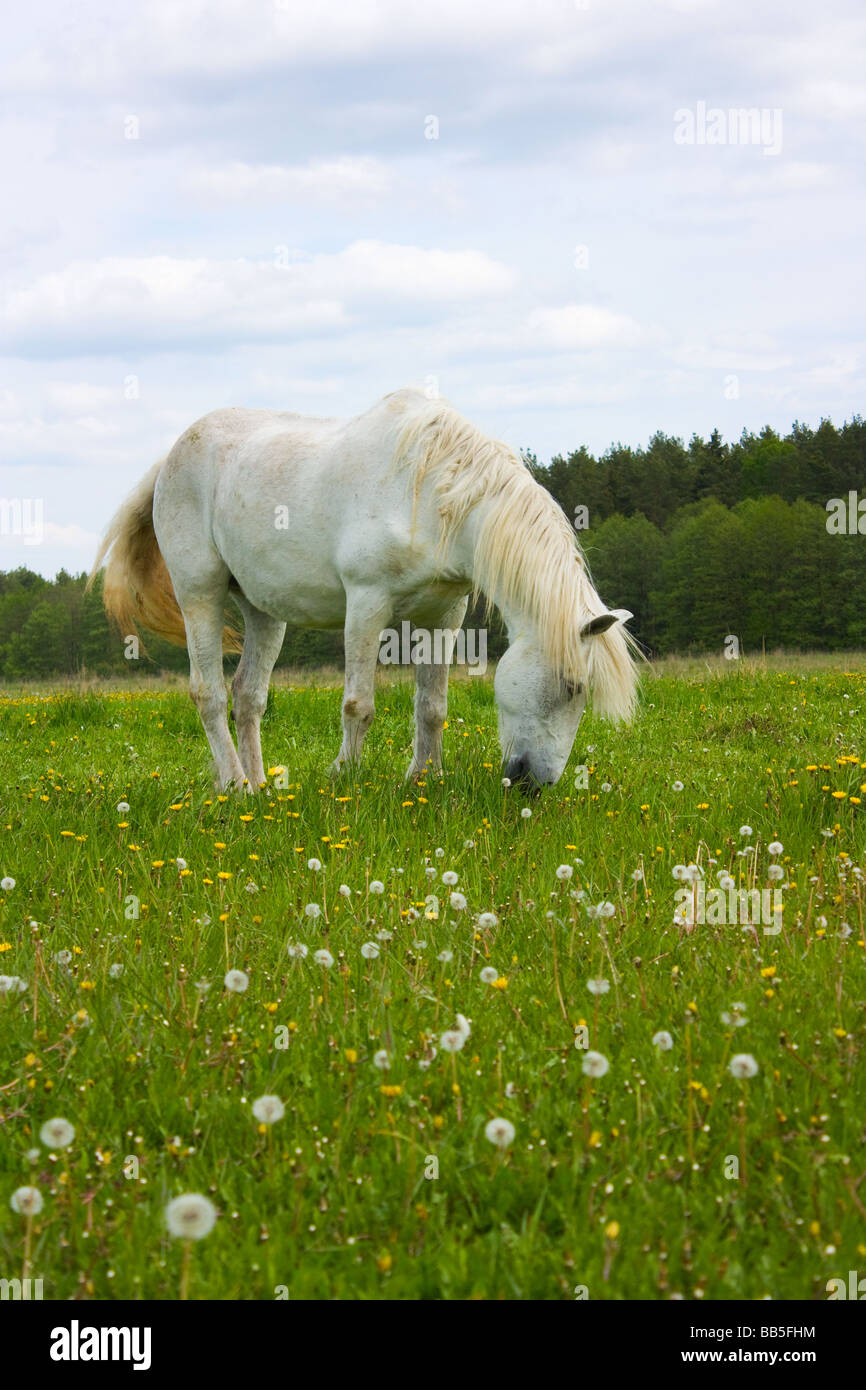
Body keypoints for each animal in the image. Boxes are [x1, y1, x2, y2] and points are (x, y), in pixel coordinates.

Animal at [91, 388, 638, 789]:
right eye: (572, 687)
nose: (533, 785)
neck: (431, 490)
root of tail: (171, 457)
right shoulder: (367, 604)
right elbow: (359, 704)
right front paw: (344, 777)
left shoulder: (444, 615)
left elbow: (432, 707)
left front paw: (423, 779)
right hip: (198, 593)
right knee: (207, 691)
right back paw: (235, 785)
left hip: (264, 610)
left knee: (247, 696)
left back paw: (261, 788)